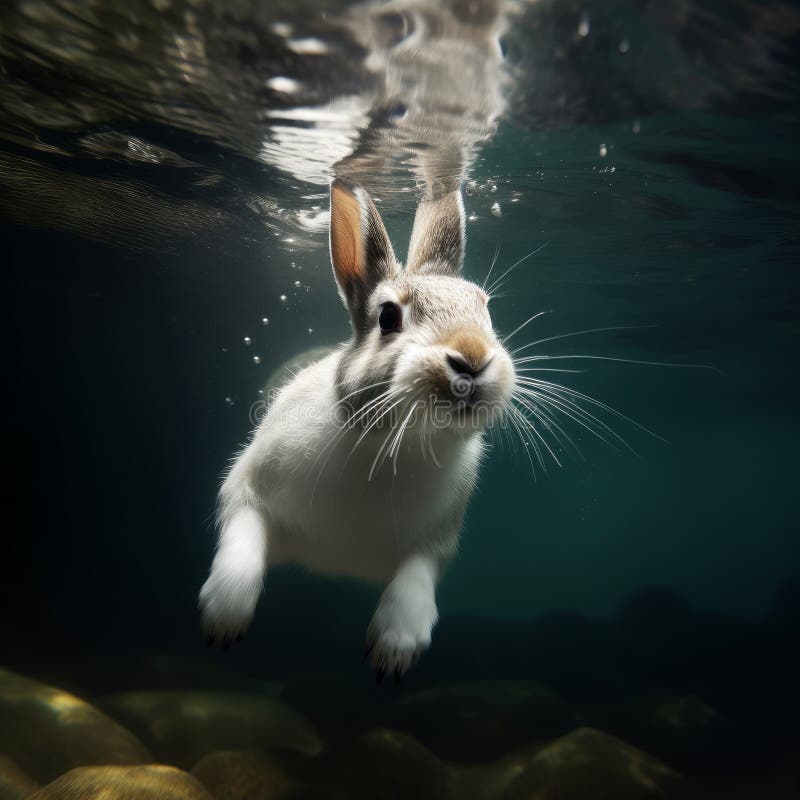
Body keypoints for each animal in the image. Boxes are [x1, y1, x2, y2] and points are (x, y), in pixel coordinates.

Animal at [199, 179, 515, 681]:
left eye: (486, 311)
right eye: (387, 317)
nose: (471, 357)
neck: (392, 443)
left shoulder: (436, 542)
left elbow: (417, 579)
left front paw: (395, 651)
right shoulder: (246, 487)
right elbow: (241, 538)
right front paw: (223, 620)